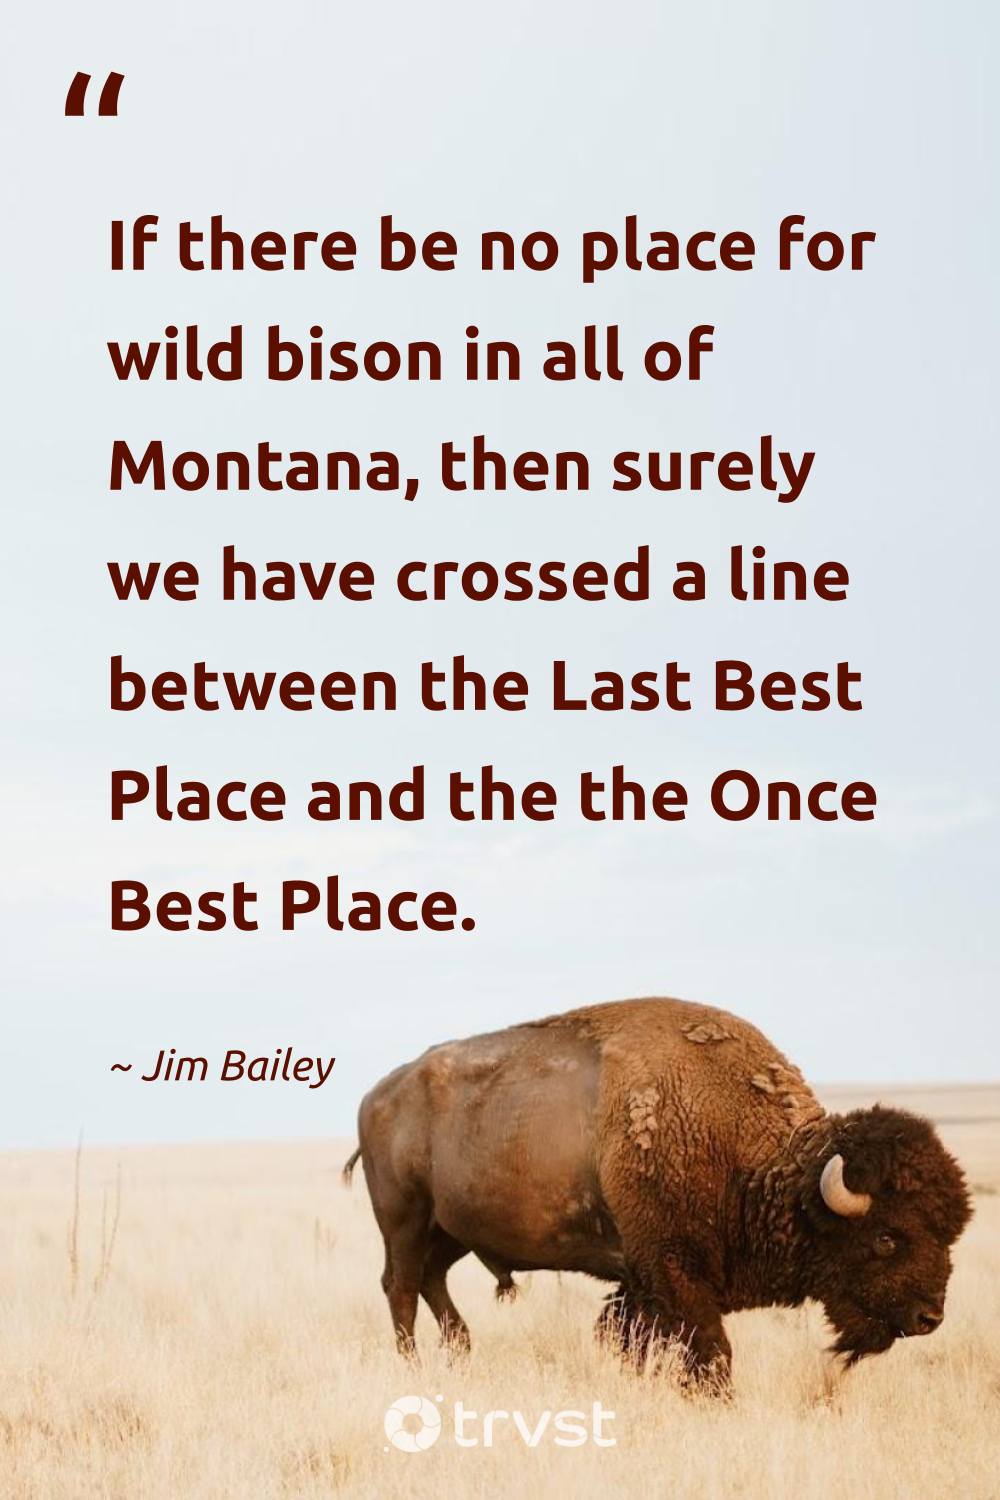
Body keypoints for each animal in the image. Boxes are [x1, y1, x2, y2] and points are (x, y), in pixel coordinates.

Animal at [343, 997, 971, 1384]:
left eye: (949, 1235)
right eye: (887, 1237)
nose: (929, 1317)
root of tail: (376, 1095)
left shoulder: (642, 1283)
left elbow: (630, 1337)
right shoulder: (673, 1270)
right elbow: (710, 1351)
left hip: (452, 1231)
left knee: (431, 1281)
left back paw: (461, 1352)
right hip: (405, 1219)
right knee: (401, 1288)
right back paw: (414, 1366)